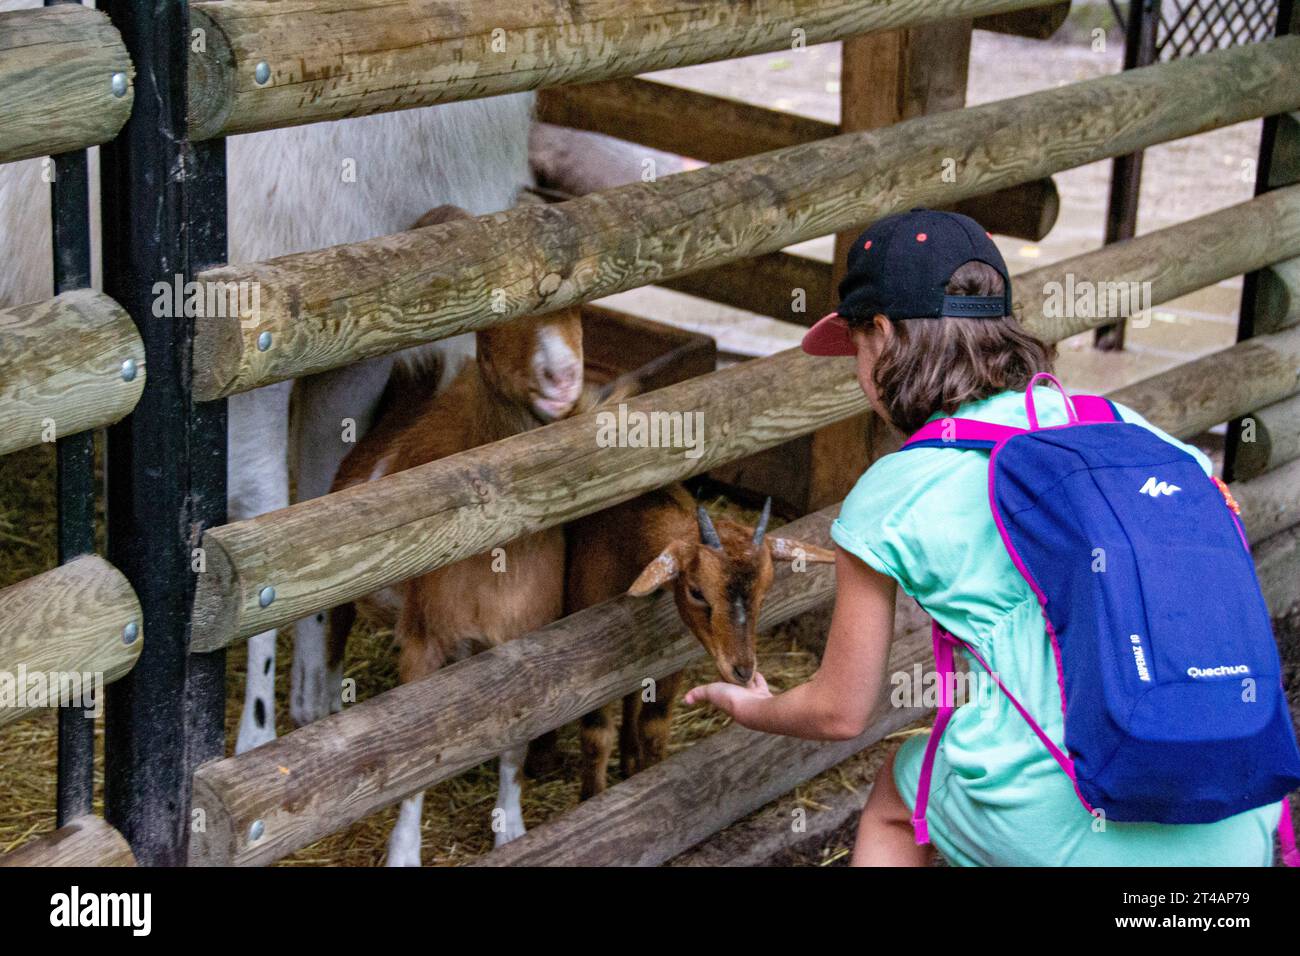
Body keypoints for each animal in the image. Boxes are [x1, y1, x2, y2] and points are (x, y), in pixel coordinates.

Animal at [328, 210, 583, 864]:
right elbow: (416, 756)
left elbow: (514, 744)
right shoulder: (423, 640)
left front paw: (512, 828)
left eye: (583, 303)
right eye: (496, 307)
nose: (562, 376)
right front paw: (402, 852)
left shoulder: (526, 640)